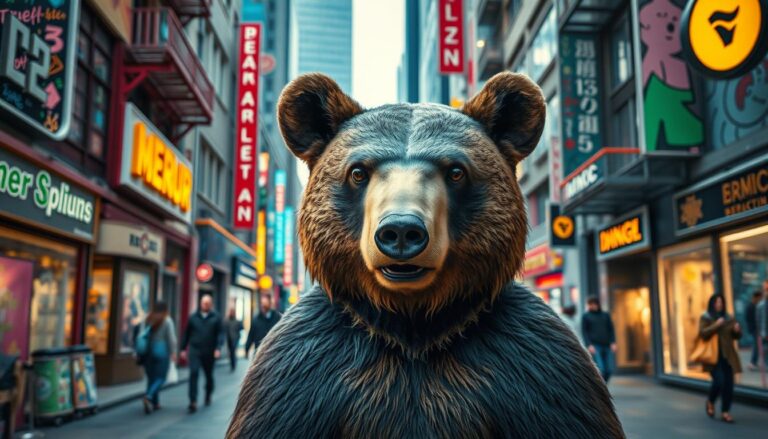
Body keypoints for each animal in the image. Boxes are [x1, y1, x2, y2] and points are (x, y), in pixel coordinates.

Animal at [226, 72, 625, 439]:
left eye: (456, 171)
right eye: (358, 172)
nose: (401, 231)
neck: (412, 325)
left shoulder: (536, 368)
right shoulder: (301, 372)